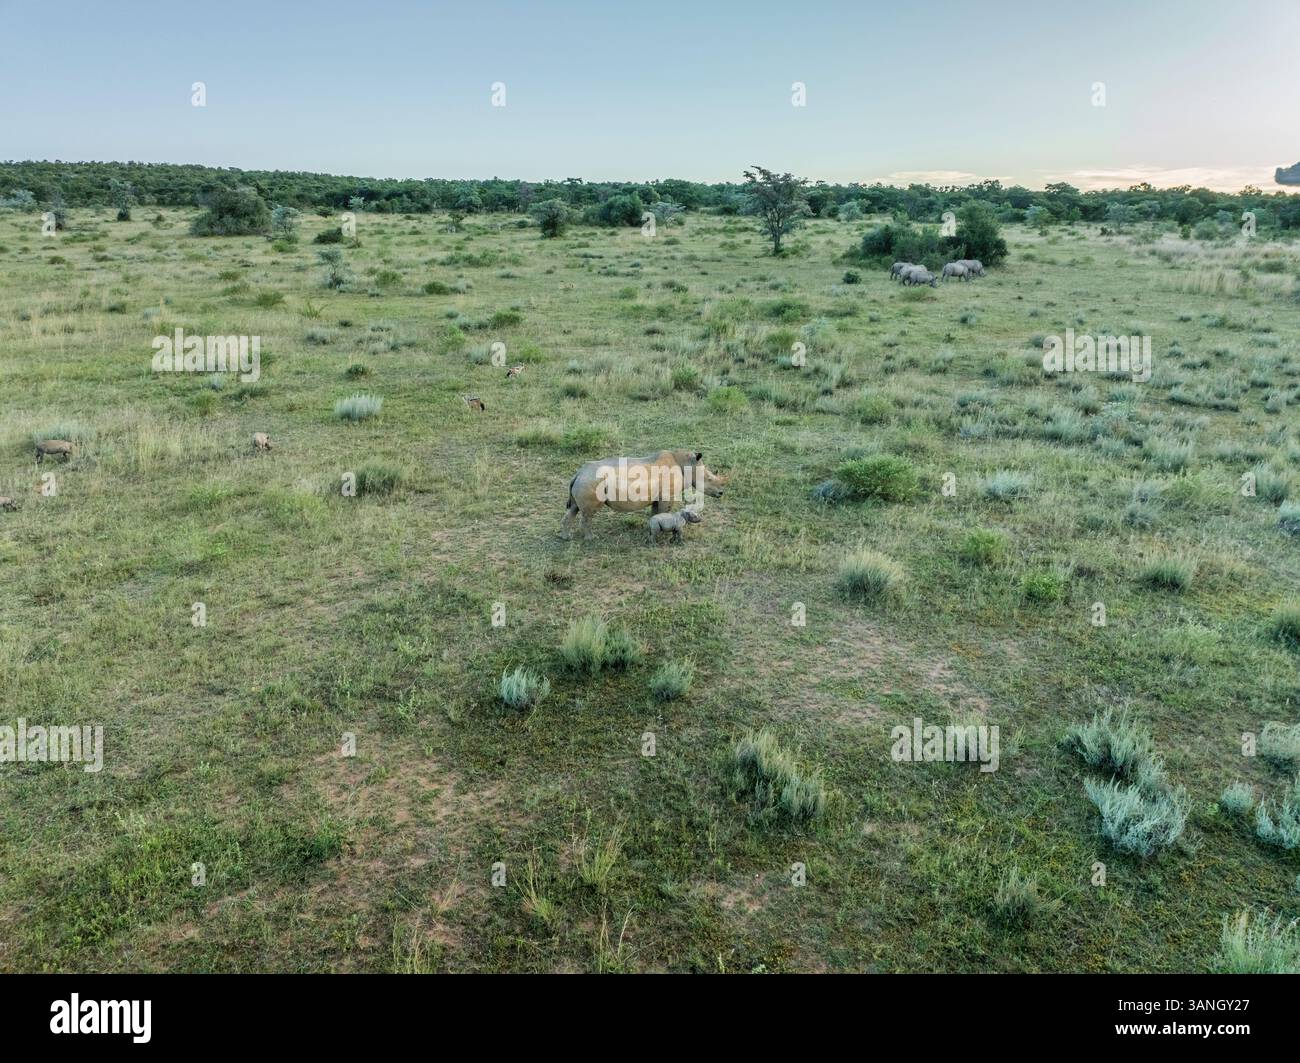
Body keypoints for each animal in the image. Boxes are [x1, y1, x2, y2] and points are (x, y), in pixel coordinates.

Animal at [561, 449, 727, 541]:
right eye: (709, 479)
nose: (721, 493)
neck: (687, 463)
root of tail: (578, 473)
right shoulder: (666, 496)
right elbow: (664, 512)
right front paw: (664, 534)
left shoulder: (657, 497)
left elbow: (655, 513)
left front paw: (652, 529)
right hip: (591, 482)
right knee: (588, 514)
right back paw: (591, 539)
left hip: (584, 481)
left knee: (573, 509)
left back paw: (566, 537)